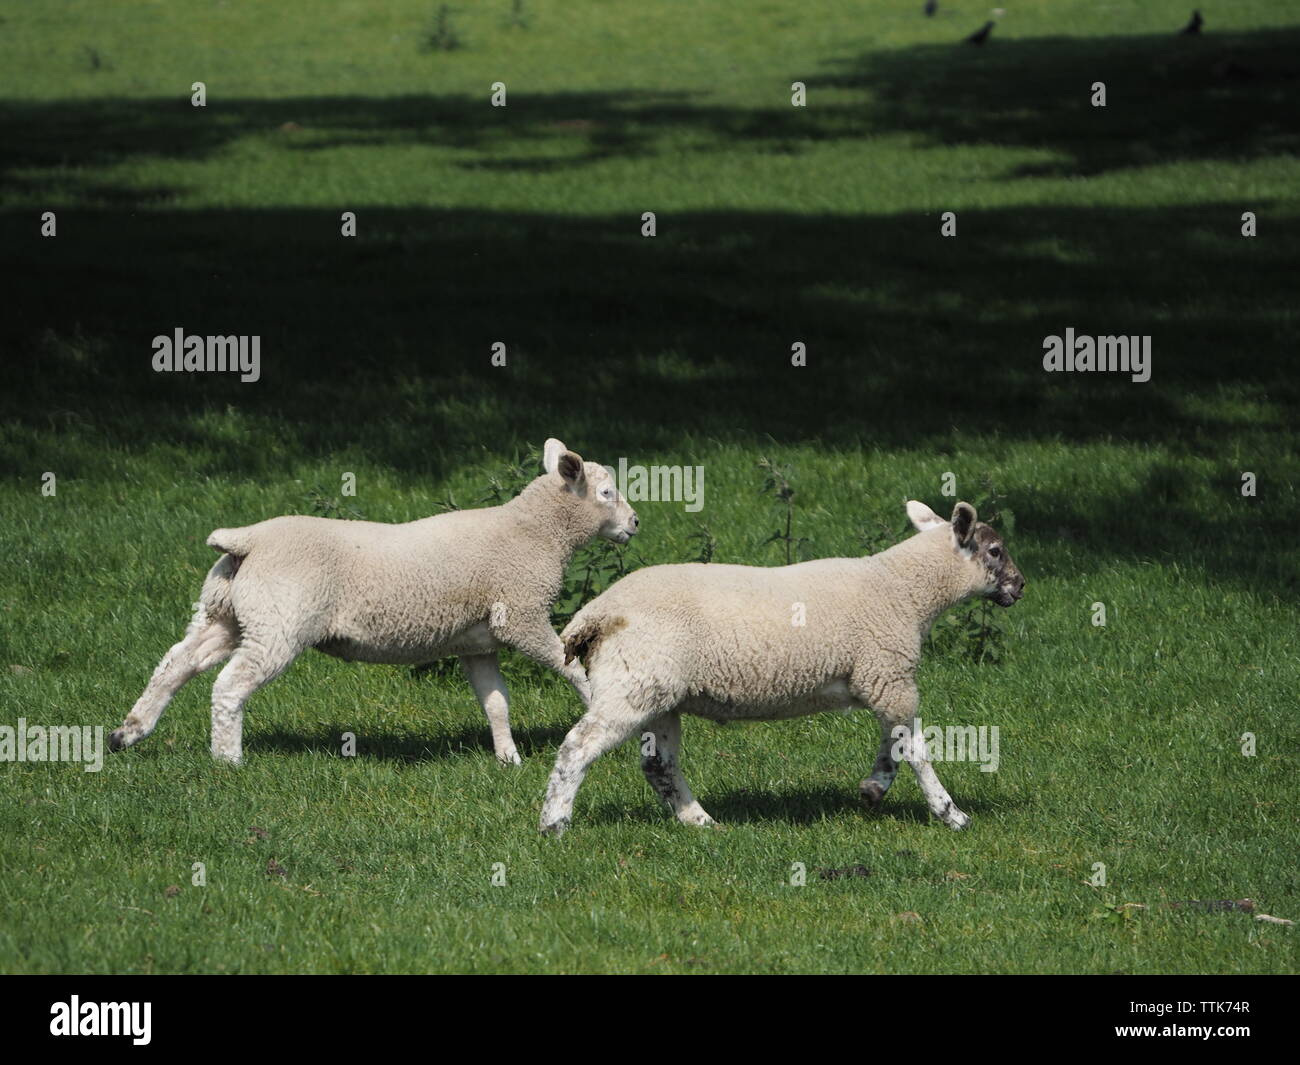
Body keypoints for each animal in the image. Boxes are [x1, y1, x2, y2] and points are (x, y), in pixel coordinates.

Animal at [110, 439, 639, 766]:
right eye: (607, 492)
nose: (635, 524)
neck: (534, 534)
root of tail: (246, 540)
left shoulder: (479, 640)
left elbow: (496, 703)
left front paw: (508, 758)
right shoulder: (521, 614)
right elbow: (571, 669)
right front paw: (594, 704)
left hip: (227, 613)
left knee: (177, 662)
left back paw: (128, 731)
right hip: (278, 622)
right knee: (229, 684)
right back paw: (227, 760)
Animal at [539, 499, 1024, 836]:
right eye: (995, 550)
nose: (1020, 586)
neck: (905, 590)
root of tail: (593, 615)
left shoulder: (879, 679)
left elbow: (894, 742)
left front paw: (873, 789)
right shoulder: (888, 673)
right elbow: (917, 749)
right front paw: (951, 814)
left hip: (657, 693)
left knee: (659, 766)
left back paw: (700, 821)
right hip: (633, 683)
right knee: (577, 747)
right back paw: (554, 823)